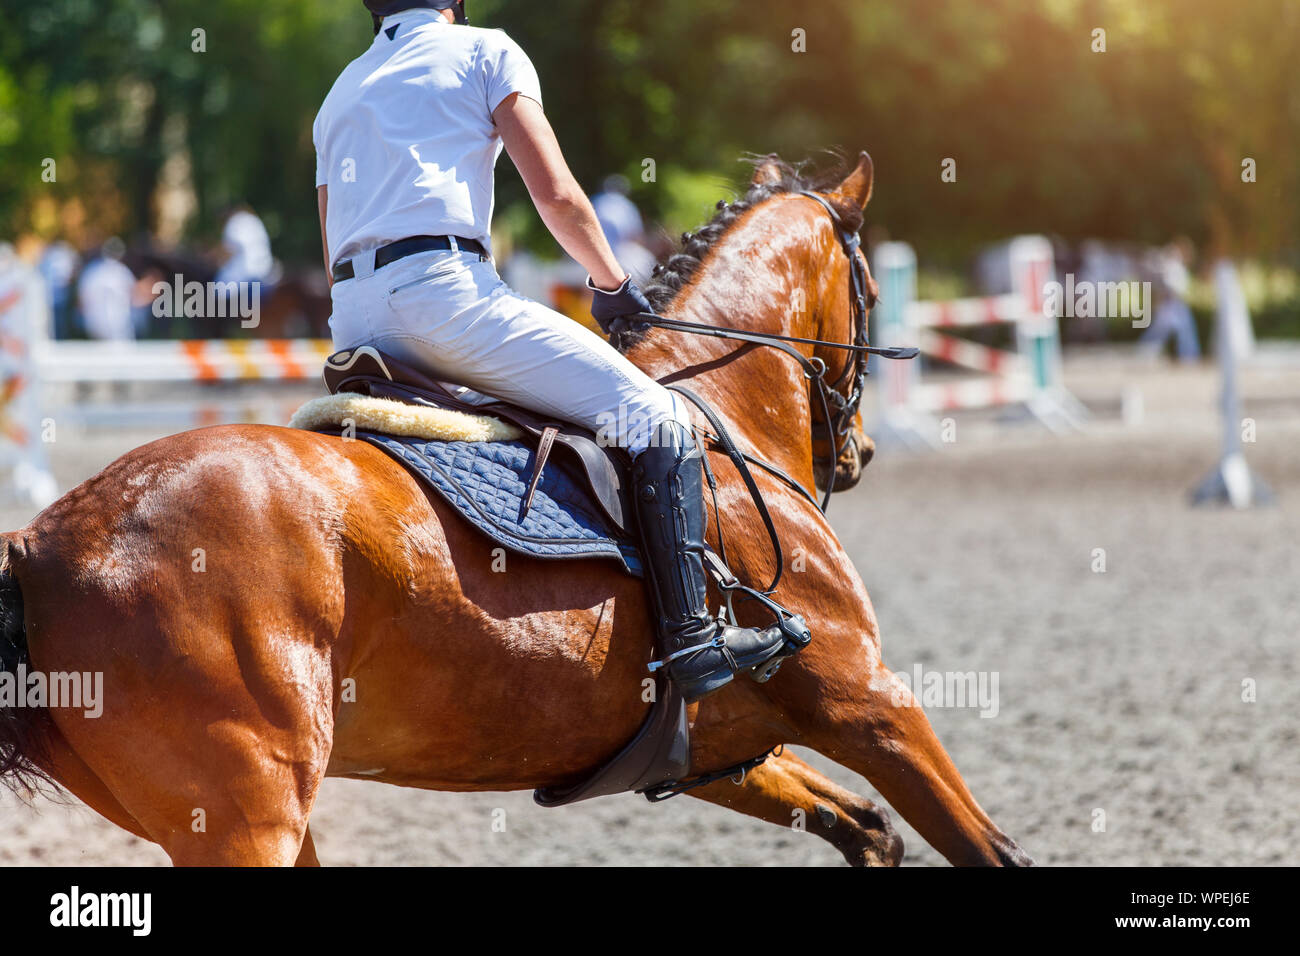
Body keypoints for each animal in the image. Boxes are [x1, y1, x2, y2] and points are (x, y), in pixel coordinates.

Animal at [0, 153, 1032, 866]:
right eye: (866, 290)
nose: (855, 456)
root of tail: (43, 541)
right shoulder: (870, 702)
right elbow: (988, 848)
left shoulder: (718, 750)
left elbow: (869, 829)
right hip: (247, 815)